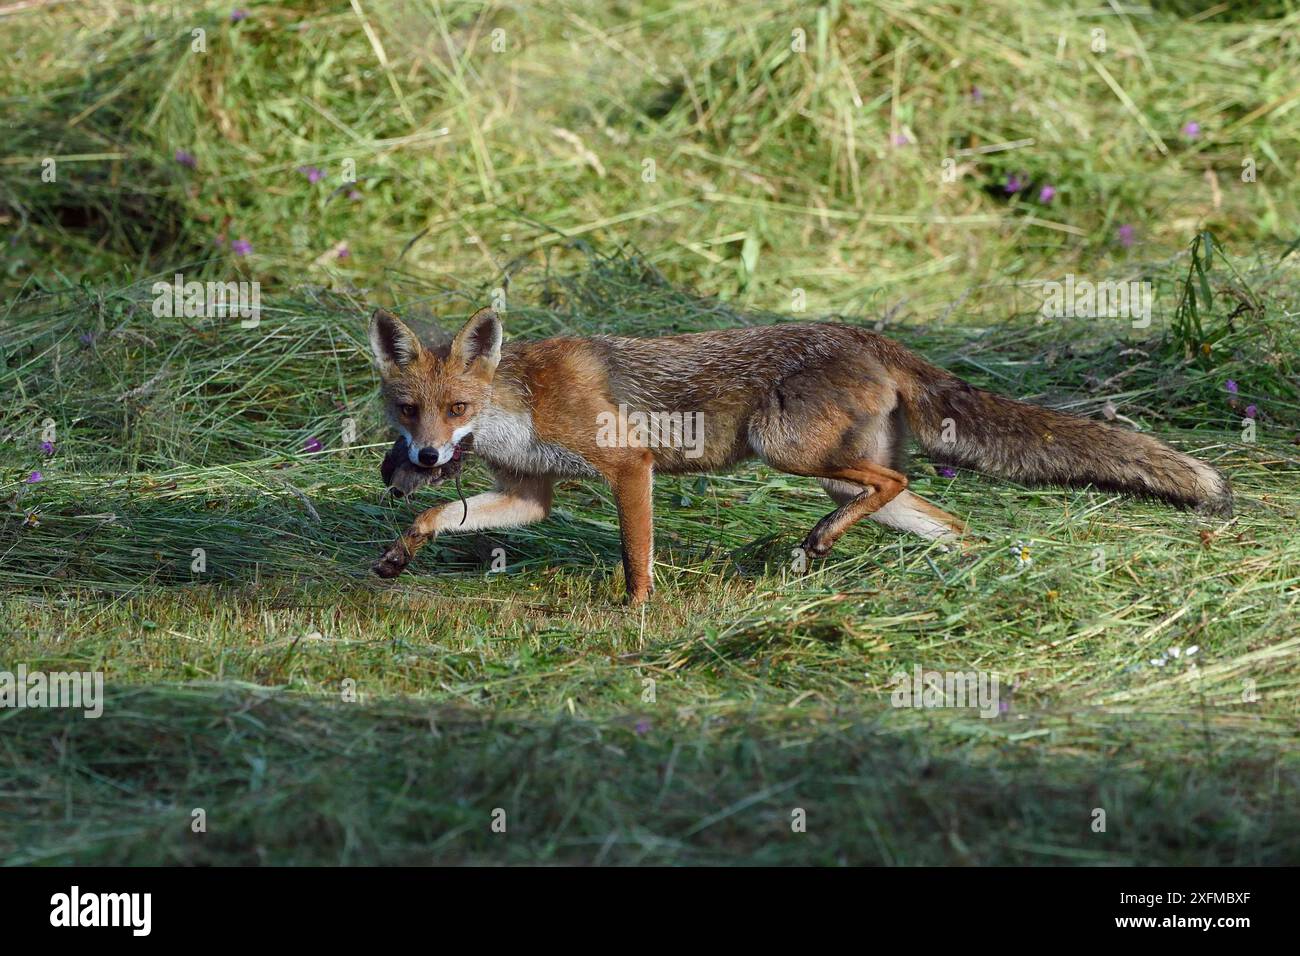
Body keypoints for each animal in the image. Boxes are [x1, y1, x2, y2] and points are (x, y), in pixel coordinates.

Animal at [368, 306, 1231, 605]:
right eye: (408, 409)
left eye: (458, 408)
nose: (423, 453)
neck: (520, 410)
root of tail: (868, 334)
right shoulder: (527, 495)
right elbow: (442, 515)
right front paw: (399, 554)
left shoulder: (628, 468)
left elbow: (636, 557)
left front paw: (635, 616)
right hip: (835, 476)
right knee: (943, 519)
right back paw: (973, 578)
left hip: (787, 451)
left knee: (893, 478)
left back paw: (822, 546)